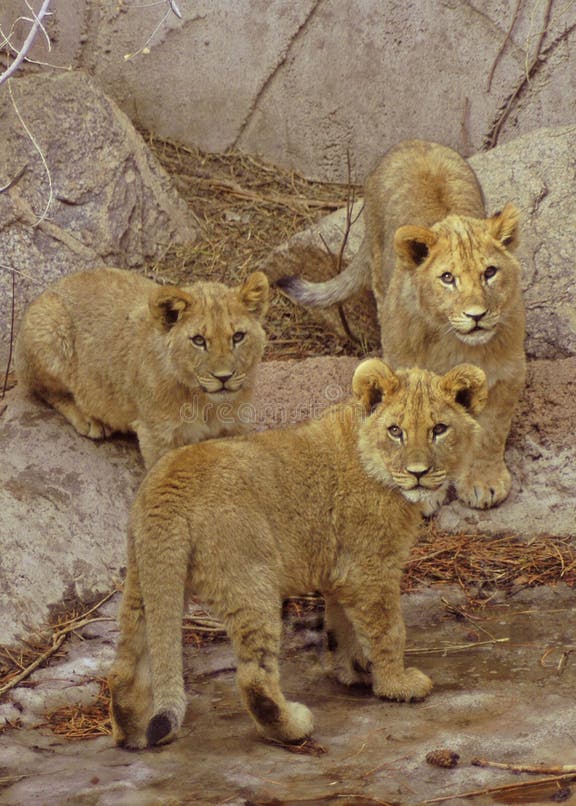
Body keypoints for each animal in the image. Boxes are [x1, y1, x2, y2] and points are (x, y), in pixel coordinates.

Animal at [15, 267, 269, 467]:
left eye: (238, 337)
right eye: (198, 340)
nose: (224, 377)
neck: (208, 405)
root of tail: (46, 291)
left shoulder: (235, 428)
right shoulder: (157, 435)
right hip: (48, 328)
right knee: (43, 390)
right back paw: (91, 420)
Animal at [108, 358, 488, 750]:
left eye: (439, 429)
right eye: (395, 431)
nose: (418, 473)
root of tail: (169, 482)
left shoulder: (342, 571)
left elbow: (342, 624)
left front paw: (355, 671)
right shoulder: (370, 568)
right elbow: (387, 629)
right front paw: (396, 684)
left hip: (146, 574)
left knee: (125, 664)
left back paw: (133, 734)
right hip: (250, 578)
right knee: (254, 677)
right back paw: (293, 726)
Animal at [278, 139, 526, 509]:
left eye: (490, 272)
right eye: (447, 278)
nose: (477, 315)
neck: (455, 342)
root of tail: (415, 142)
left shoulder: (508, 372)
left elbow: (492, 431)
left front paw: (484, 481)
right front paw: (422, 490)